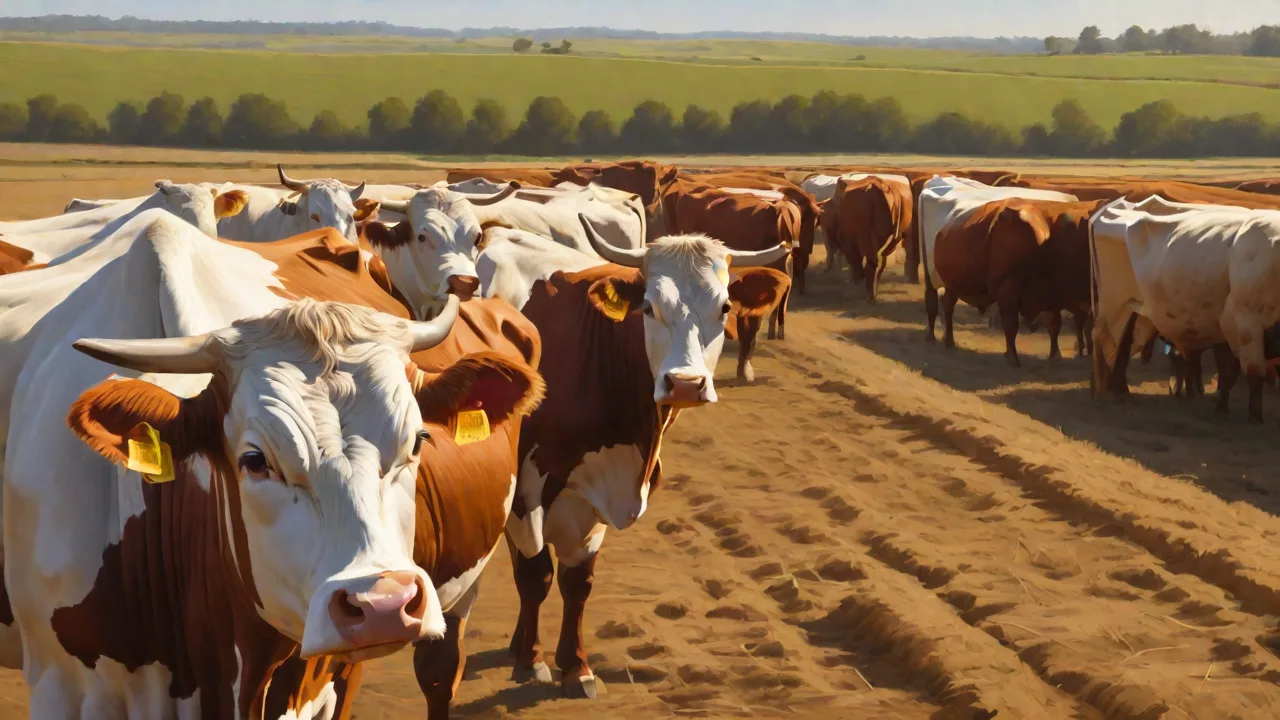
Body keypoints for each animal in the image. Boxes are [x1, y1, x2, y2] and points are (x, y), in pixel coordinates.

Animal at [476, 219, 789, 699]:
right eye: (648, 306)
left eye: (723, 307)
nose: (686, 383)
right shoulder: (526, 488)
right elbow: (535, 573)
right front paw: (532, 662)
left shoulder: (597, 491)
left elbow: (577, 582)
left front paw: (576, 667)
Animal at [917, 176, 1078, 349]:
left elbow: (1053, 323)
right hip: (930, 272)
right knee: (932, 301)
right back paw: (931, 336)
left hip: (951, 278)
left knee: (947, 303)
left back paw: (949, 340)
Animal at [931, 198, 1103, 367]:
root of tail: (944, 230)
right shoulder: (1009, 291)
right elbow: (1011, 325)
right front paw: (1012, 357)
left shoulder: (1051, 296)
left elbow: (1054, 325)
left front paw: (1055, 355)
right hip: (952, 286)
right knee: (948, 308)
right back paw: (949, 343)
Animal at [1090, 196, 1280, 420]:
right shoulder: (1243, 323)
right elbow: (1248, 373)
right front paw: (1252, 417)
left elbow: (1229, 373)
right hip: (1114, 304)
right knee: (1104, 340)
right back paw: (1104, 393)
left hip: (1136, 313)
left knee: (1122, 346)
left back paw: (1119, 391)